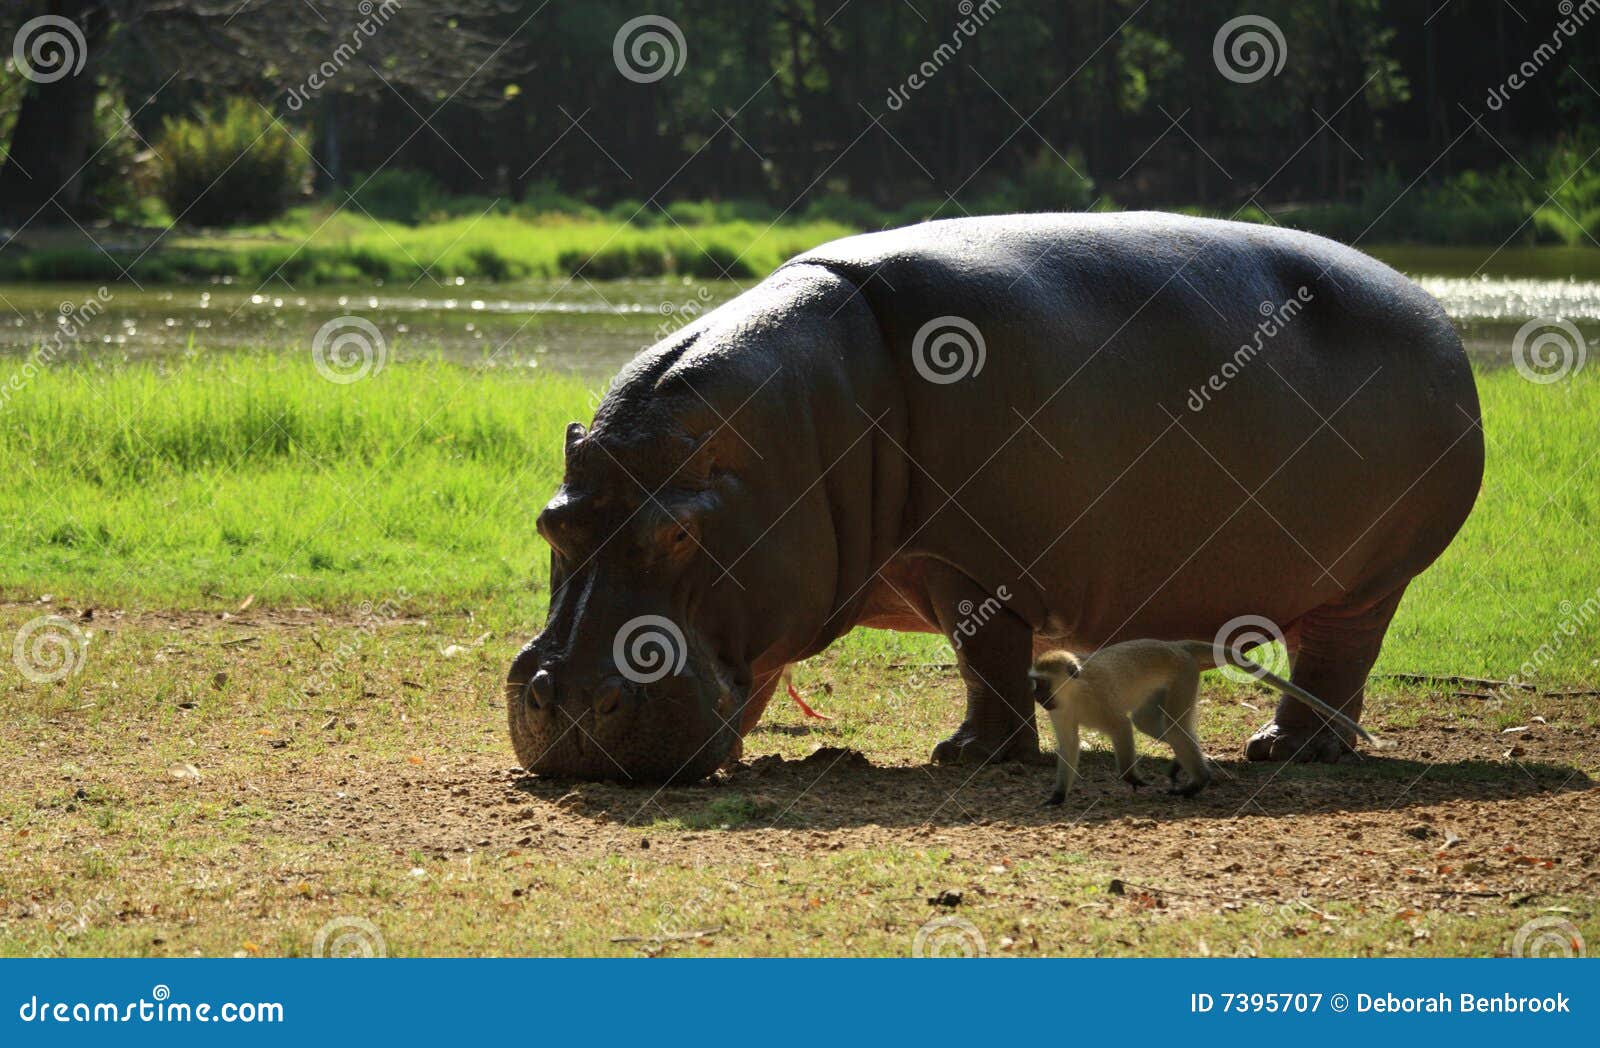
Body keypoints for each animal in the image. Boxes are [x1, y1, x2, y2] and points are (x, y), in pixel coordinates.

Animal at [507, 212, 1483, 783]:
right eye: (550, 523)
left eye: (677, 537)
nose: (566, 696)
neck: (794, 440)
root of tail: (1434, 311)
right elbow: (761, 666)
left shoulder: (971, 563)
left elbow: (984, 660)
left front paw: (966, 757)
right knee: (1335, 668)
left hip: (1373, 578)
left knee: (1338, 655)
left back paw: (1286, 750)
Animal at [1029, 639, 1388, 803]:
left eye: (1042, 684)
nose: (1037, 698)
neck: (1074, 692)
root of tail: (1176, 647)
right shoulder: (1060, 711)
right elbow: (1069, 745)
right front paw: (1058, 796)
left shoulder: (1100, 700)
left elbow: (1121, 727)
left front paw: (1131, 777)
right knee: (1157, 724)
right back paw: (1190, 765)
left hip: (1183, 676)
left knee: (1172, 727)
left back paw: (1199, 781)